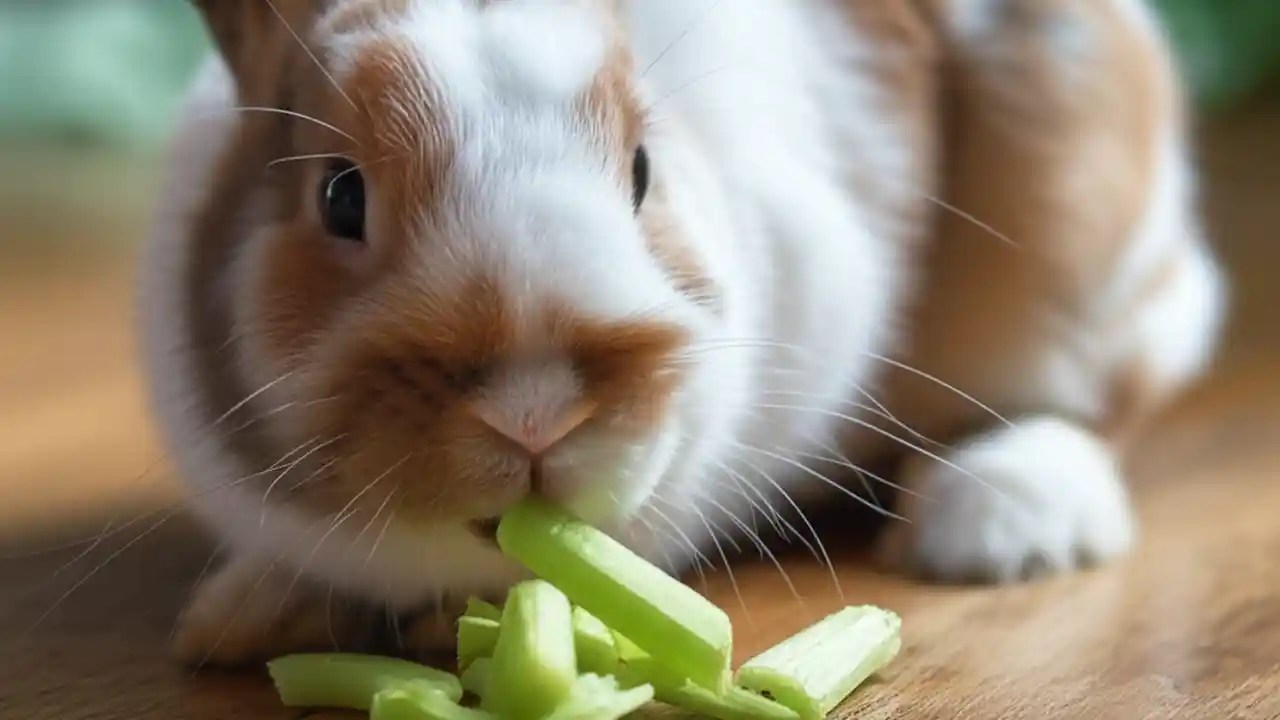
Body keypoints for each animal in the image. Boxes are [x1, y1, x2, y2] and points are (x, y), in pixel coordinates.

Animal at [143, 0, 1225, 666]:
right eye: (339, 196)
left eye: (641, 170)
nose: (534, 413)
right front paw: (241, 619)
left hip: (1068, 232)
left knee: (1092, 397)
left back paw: (1001, 525)